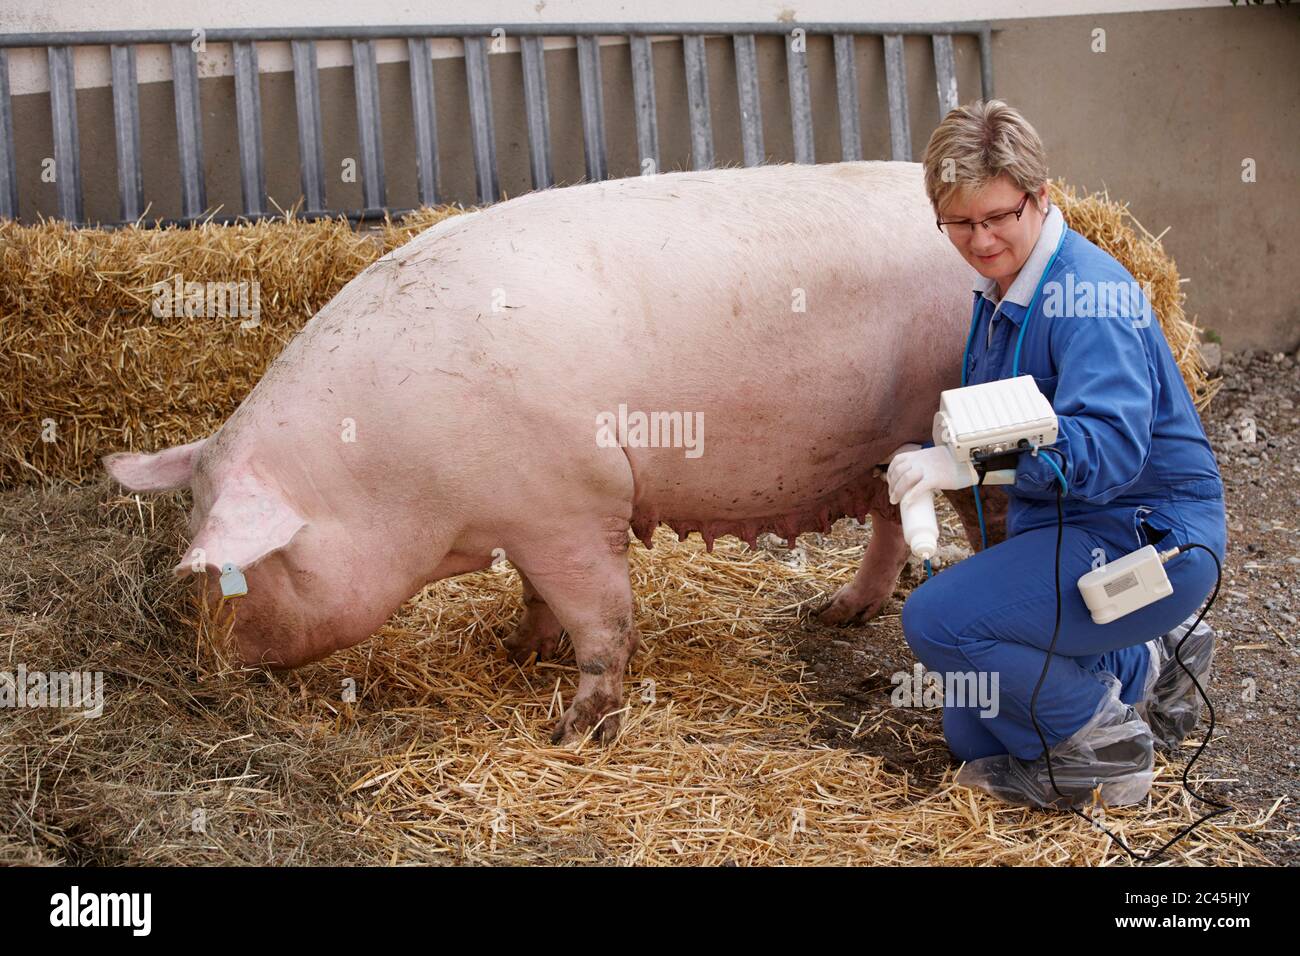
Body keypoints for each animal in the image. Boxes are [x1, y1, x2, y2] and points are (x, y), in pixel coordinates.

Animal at [105, 160, 999, 744]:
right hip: (883, 447)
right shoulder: (525, 520)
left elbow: (604, 619)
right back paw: (834, 612)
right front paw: (517, 649)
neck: (385, 478)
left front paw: (573, 730)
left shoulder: (573, 506)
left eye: (230, 575)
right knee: (888, 520)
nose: (205, 666)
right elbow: (537, 595)